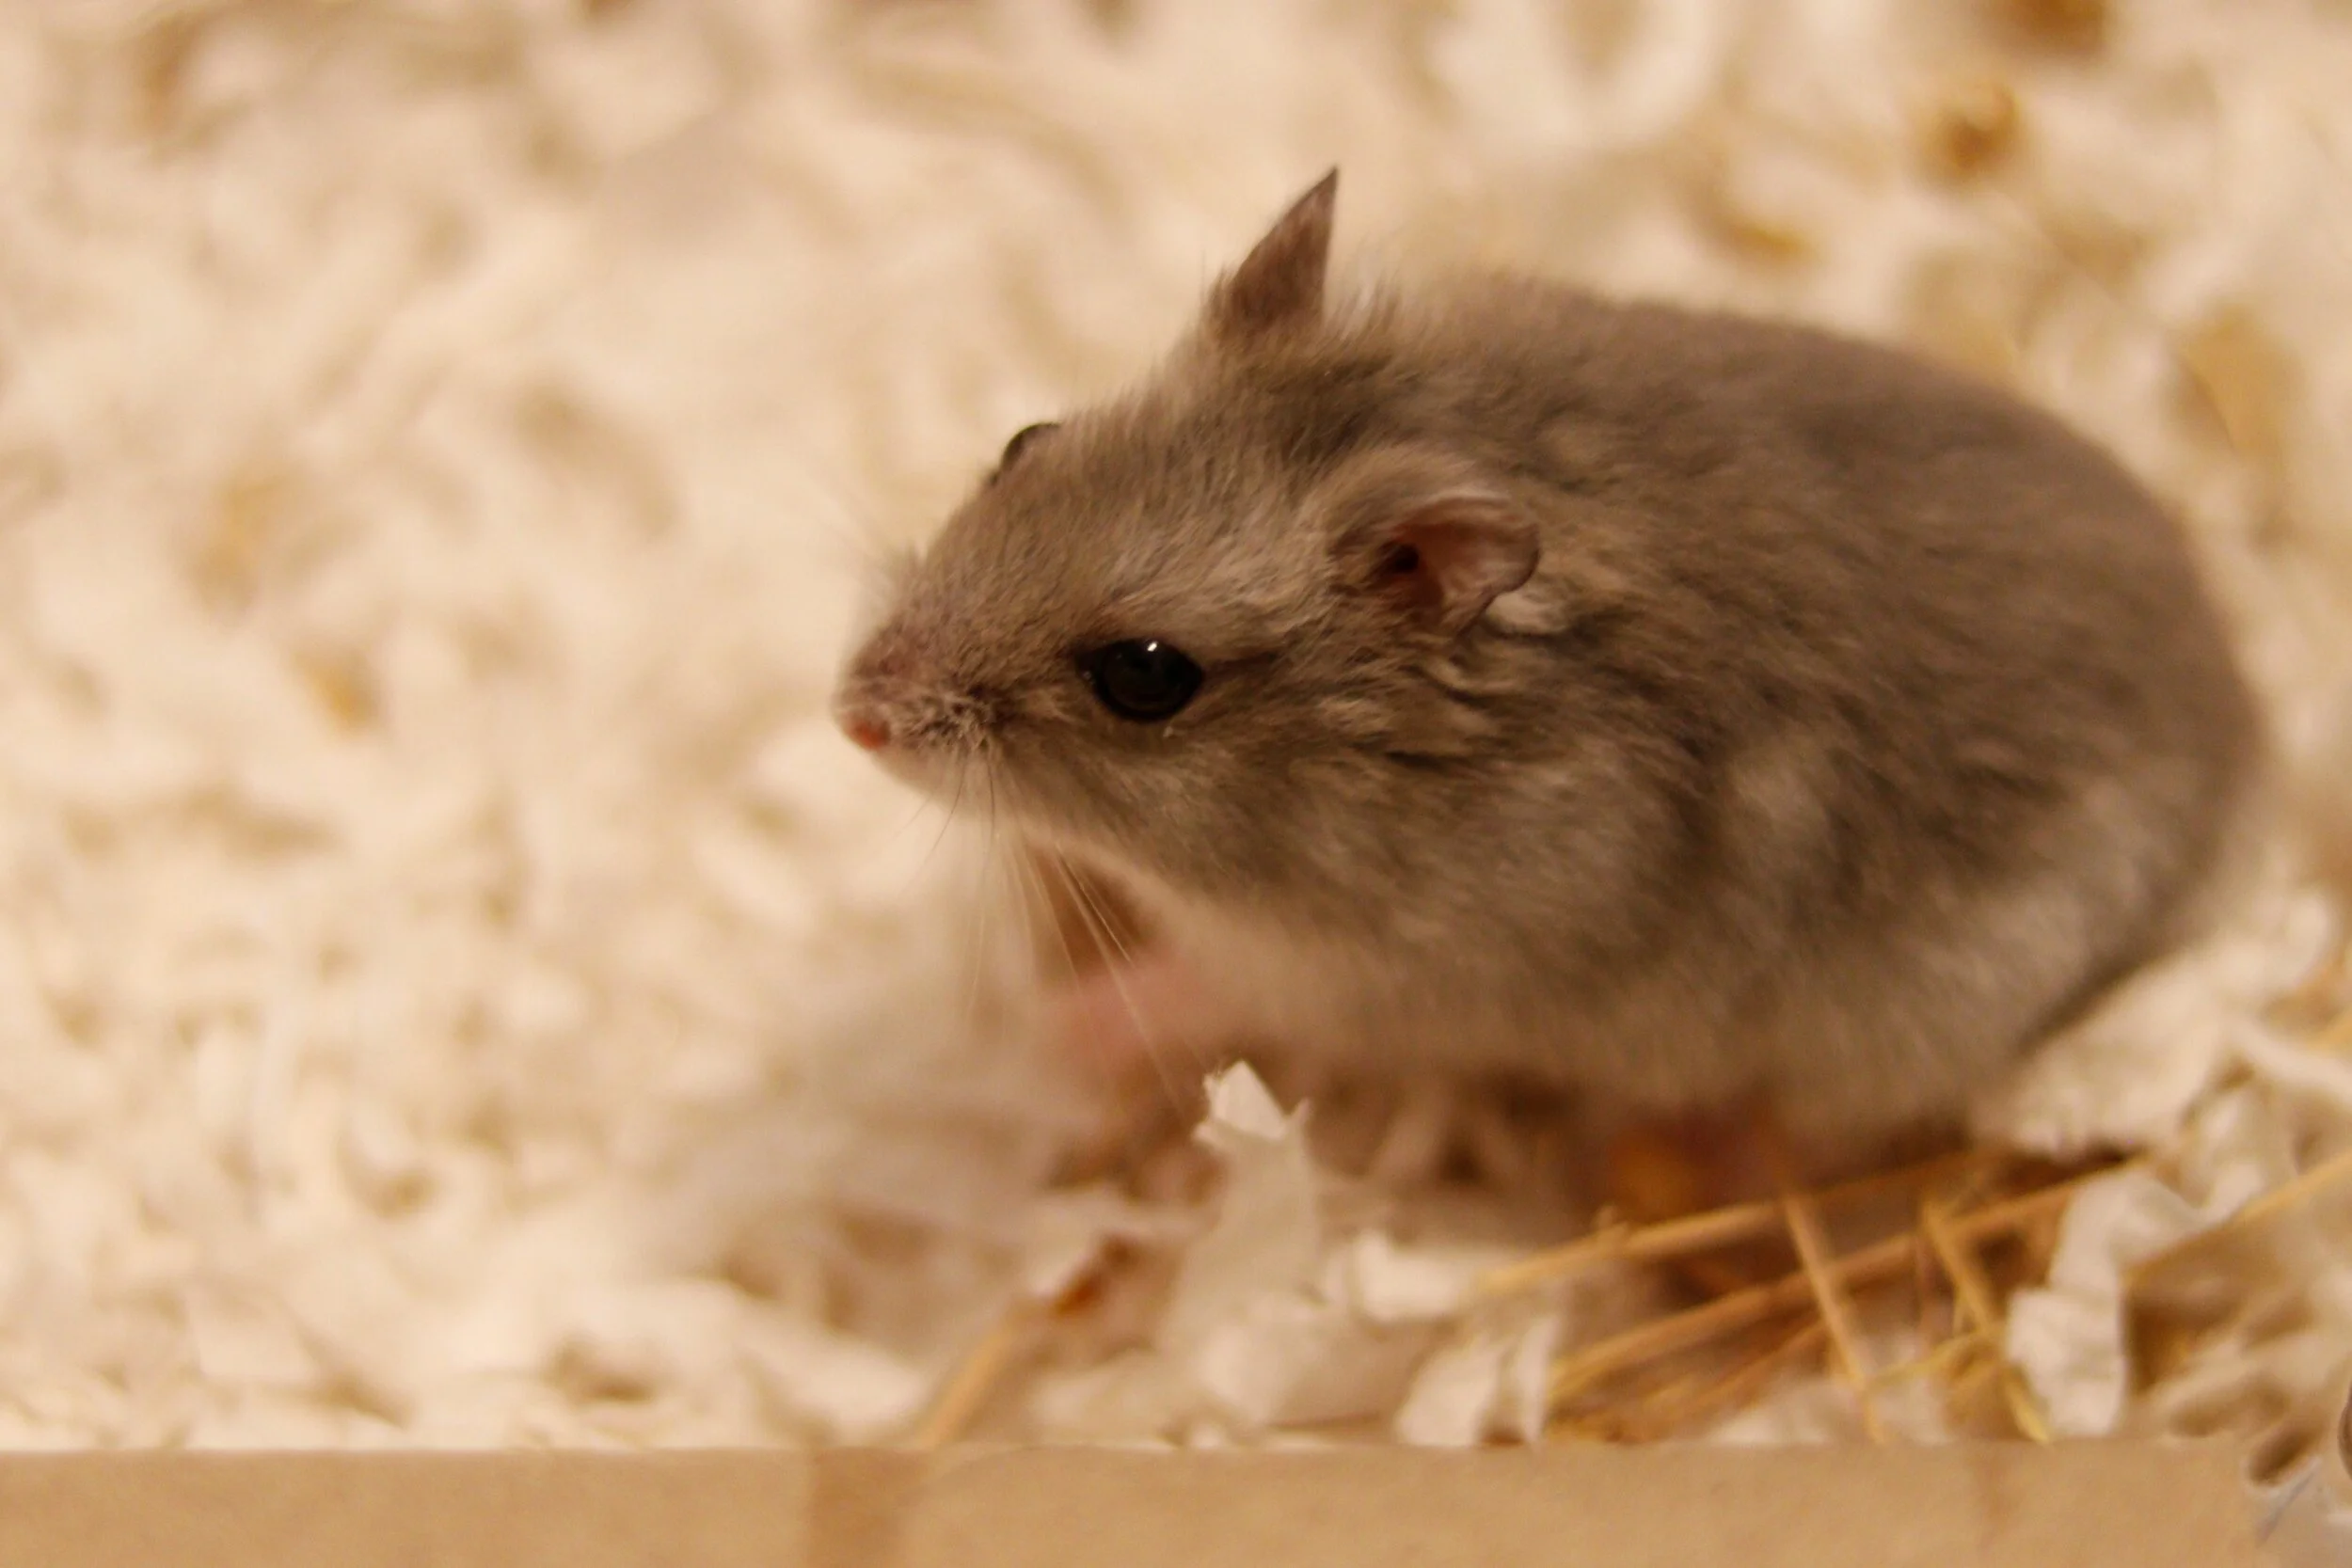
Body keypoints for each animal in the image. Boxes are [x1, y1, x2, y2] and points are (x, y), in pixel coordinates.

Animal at [833, 170, 2266, 1145]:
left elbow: (1183, 992)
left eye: (1143, 675)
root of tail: (2242, 727)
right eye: (1025, 441)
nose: (852, 713)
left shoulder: (1344, 980)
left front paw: (1040, 1042)